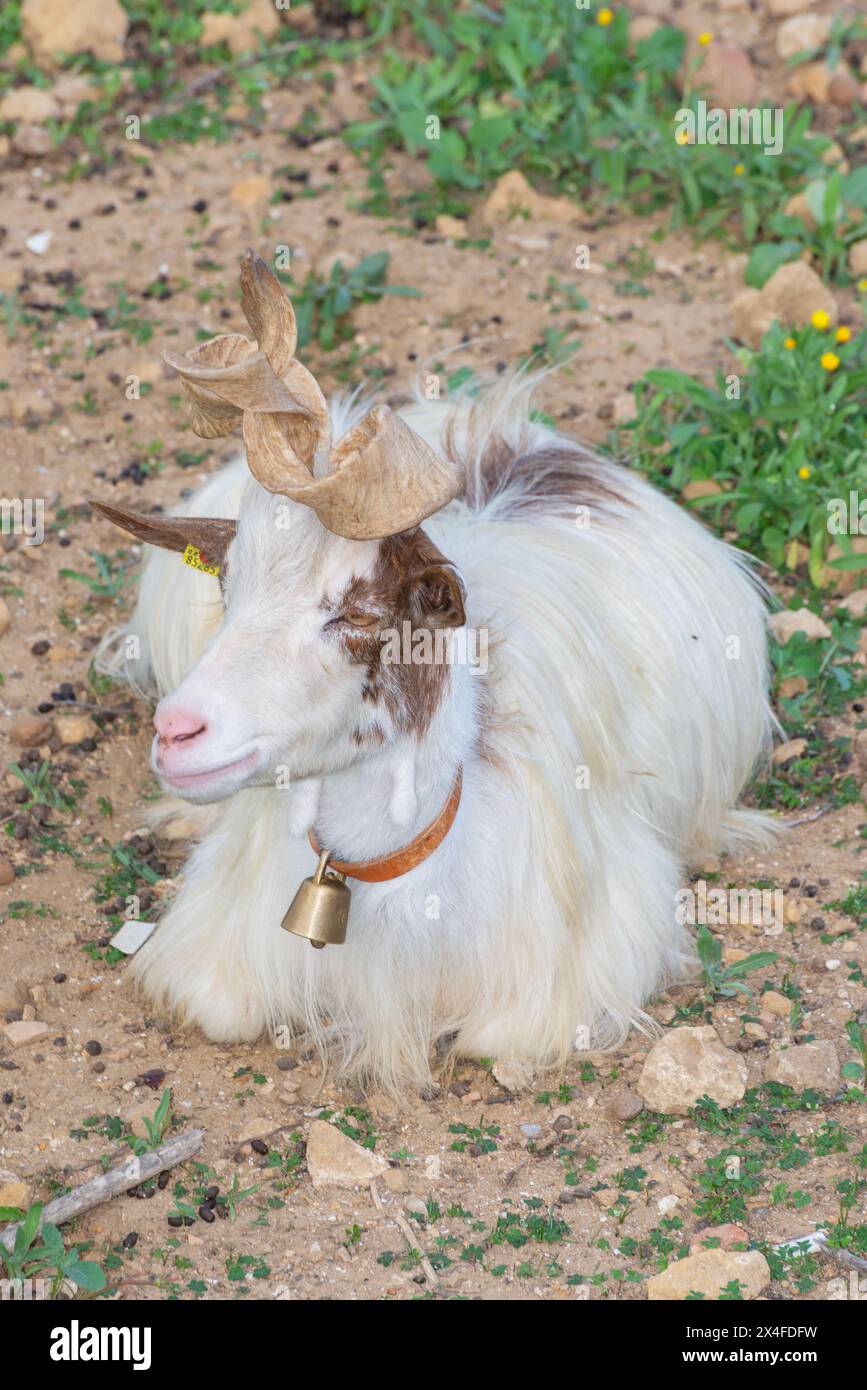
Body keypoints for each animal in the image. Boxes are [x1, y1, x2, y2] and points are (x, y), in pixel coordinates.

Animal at [93, 251, 775, 1094]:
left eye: (358, 615)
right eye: (229, 585)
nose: (177, 732)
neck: (393, 868)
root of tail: (493, 423)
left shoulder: (571, 978)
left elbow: (493, 1038)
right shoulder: (212, 958)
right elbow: (222, 1007)